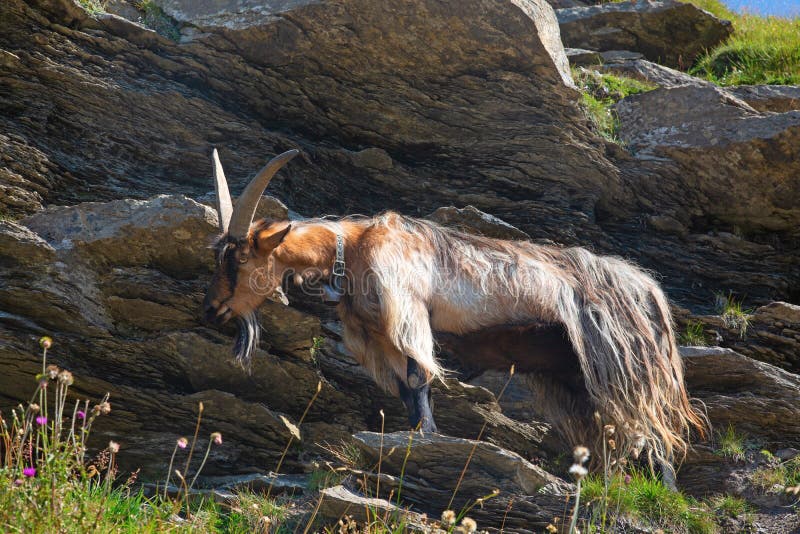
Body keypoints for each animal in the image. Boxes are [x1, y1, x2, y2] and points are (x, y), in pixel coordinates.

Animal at [202, 149, 707, 475]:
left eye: (240, 258)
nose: (213, 309)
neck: (355, 247)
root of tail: (650, 291)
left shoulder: (407, 311)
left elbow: (418, 378)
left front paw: (426, 437)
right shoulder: (377, 337)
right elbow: (404, 389)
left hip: (624, 361)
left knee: (653, 431)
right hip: (575, 373)